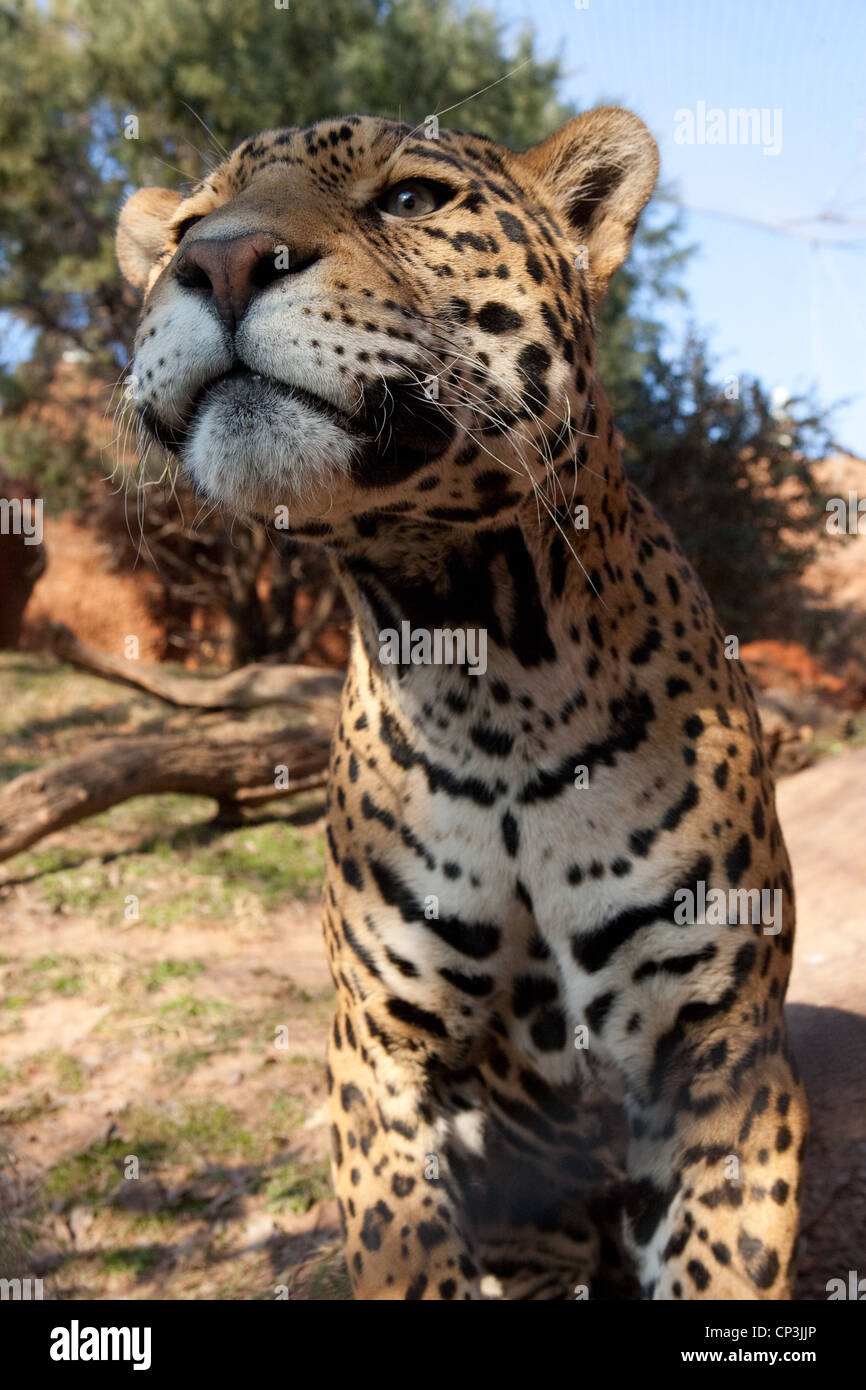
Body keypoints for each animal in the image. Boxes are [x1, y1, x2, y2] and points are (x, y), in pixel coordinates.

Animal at [116, 106, 808, 1300]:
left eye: (409, 200)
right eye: (184, 231)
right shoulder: (376, 1058)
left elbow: (722, 1261)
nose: (220, 260)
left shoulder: (726, 1062)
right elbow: (406, 1248)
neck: (481, 655)